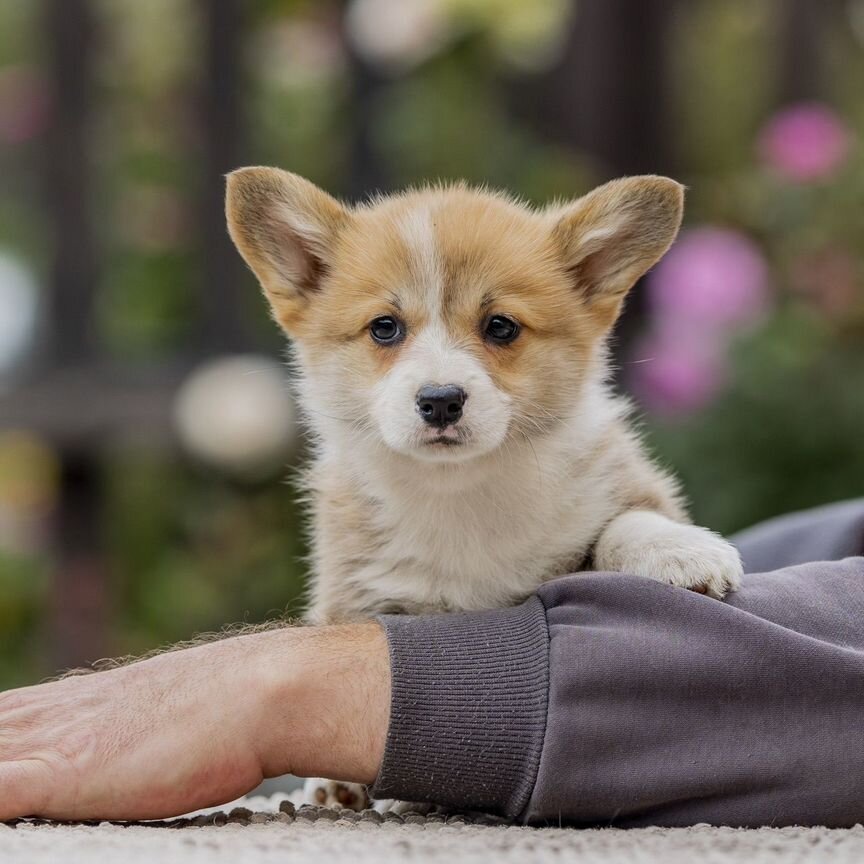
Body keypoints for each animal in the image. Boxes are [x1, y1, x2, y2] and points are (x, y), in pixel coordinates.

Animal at [223, 170, 744, 808]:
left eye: (501, 326)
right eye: (384, 328)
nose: (441, 400)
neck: (461, 491)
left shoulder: (619, 488)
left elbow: (628, 519)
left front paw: (680, 553)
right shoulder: (361, 590)